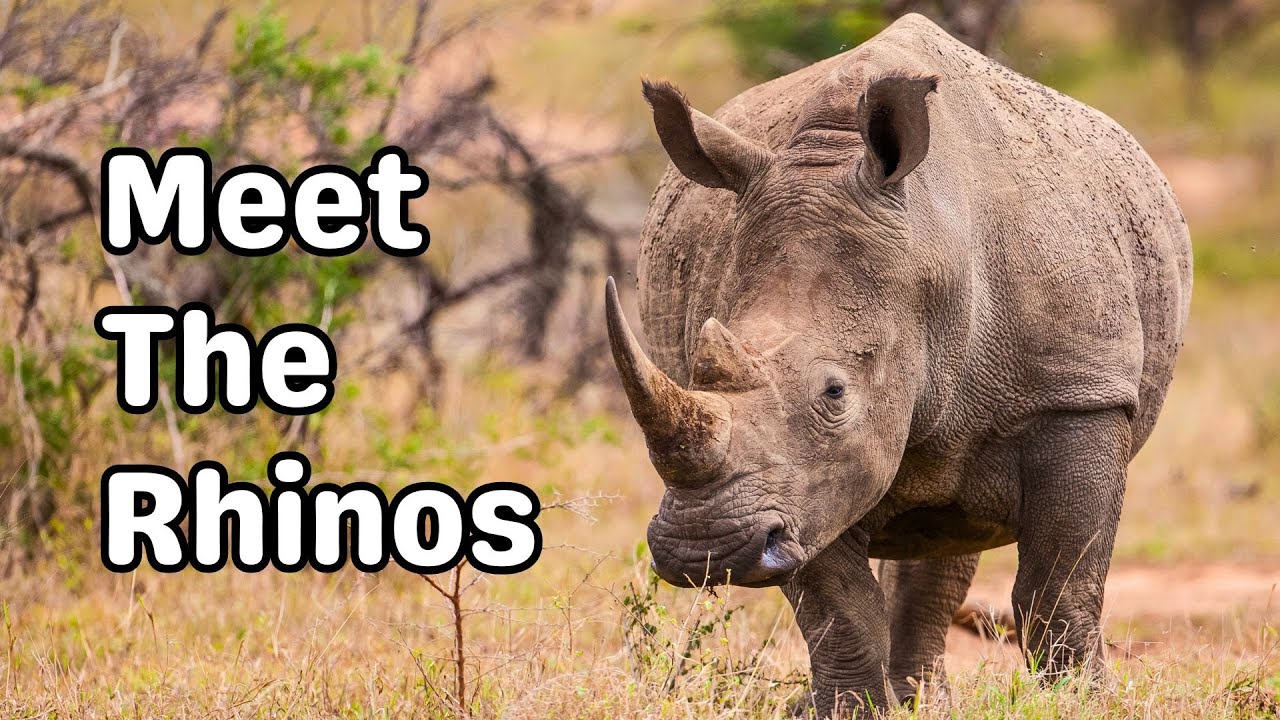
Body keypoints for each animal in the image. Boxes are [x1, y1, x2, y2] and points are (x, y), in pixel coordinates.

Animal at [604, 13, 1192, 717]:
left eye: (835, 393)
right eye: (694, 369)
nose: (704, 549)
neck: (930, 255)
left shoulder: (1080, 393)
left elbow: (1061, 586)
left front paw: (1082, 701)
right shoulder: (801, 482)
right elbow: (841, 612)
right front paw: (849, 710)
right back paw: (916, 700)